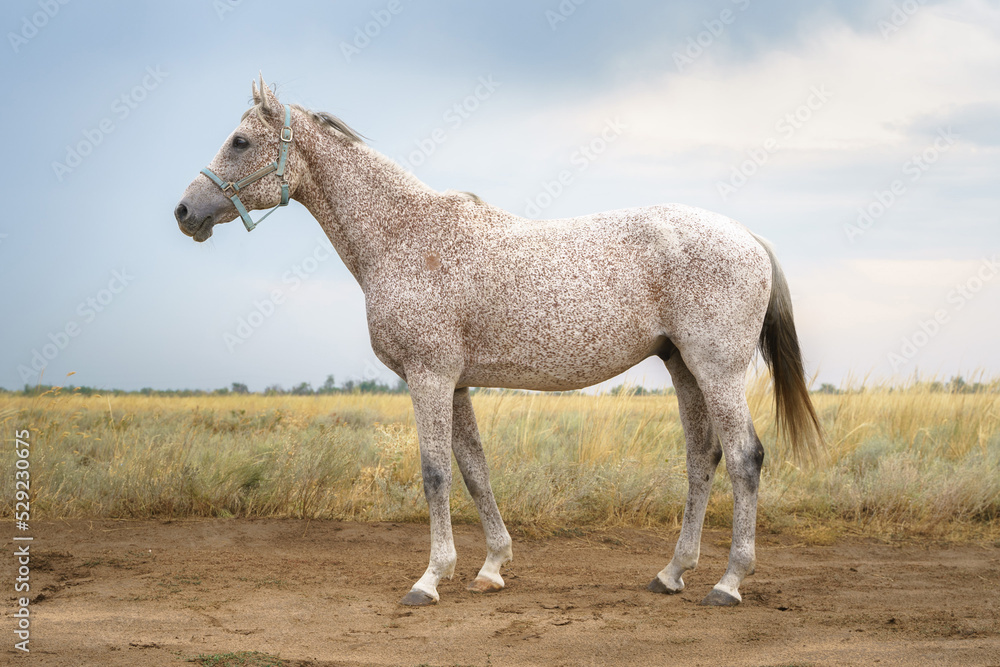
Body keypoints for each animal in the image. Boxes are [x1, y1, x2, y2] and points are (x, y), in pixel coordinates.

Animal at [174, 75, 823, 607]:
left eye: (239, 141)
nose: (184, 211)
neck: (405, 236)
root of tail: (747, 235)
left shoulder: (430, 376)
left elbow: (435, 471)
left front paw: (431, 578)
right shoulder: (455, 383)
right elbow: (474, 470)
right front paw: (491, 567)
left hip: (717, 370)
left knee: (744, 458)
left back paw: (729, 582)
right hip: (684, 367)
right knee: (700, 460)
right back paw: (671, 573)